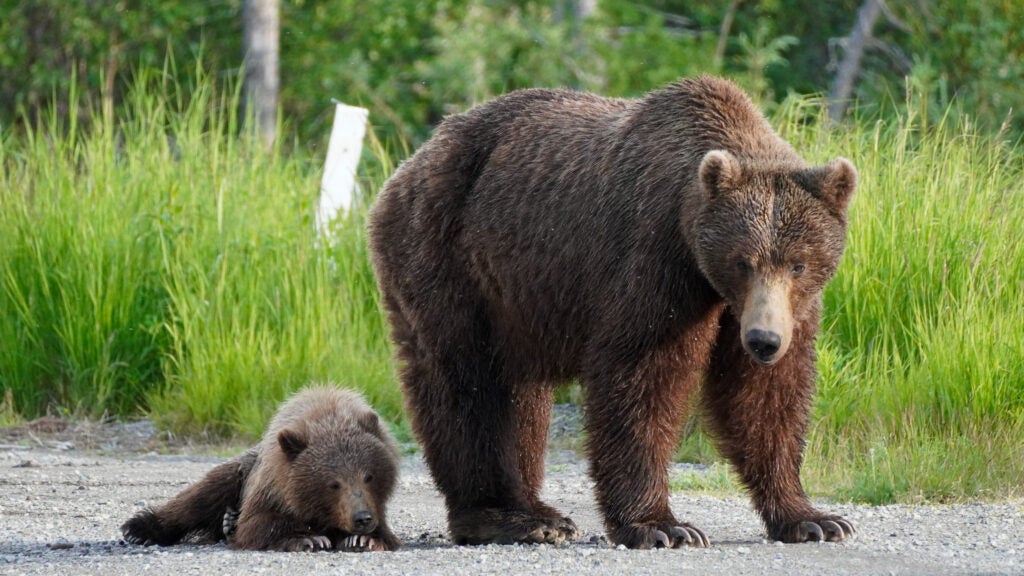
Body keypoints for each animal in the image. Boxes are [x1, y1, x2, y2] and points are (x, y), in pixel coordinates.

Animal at [121, 385, 401, 552]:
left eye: (368, 476)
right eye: (333, 483)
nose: (362, 517)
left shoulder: (375, 503)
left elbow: (384, 534)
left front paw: (363, 540)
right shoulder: (270, 488)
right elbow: (257, 524)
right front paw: (308, 539)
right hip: (239, 471)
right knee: (199, 498)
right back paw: (140, 529)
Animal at [368, 75, 857, 549]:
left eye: (799, 263)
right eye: (742, 261)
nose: (763, 340)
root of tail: (411, 163)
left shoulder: (777, 309)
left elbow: (765, 396)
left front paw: (813, 518)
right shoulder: (655, 264)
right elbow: (641, 378)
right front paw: (662, 527)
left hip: (518, 302)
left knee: (520, 394)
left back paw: (537, 514)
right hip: (446, 257)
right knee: (468, 383)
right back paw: (505, 517)